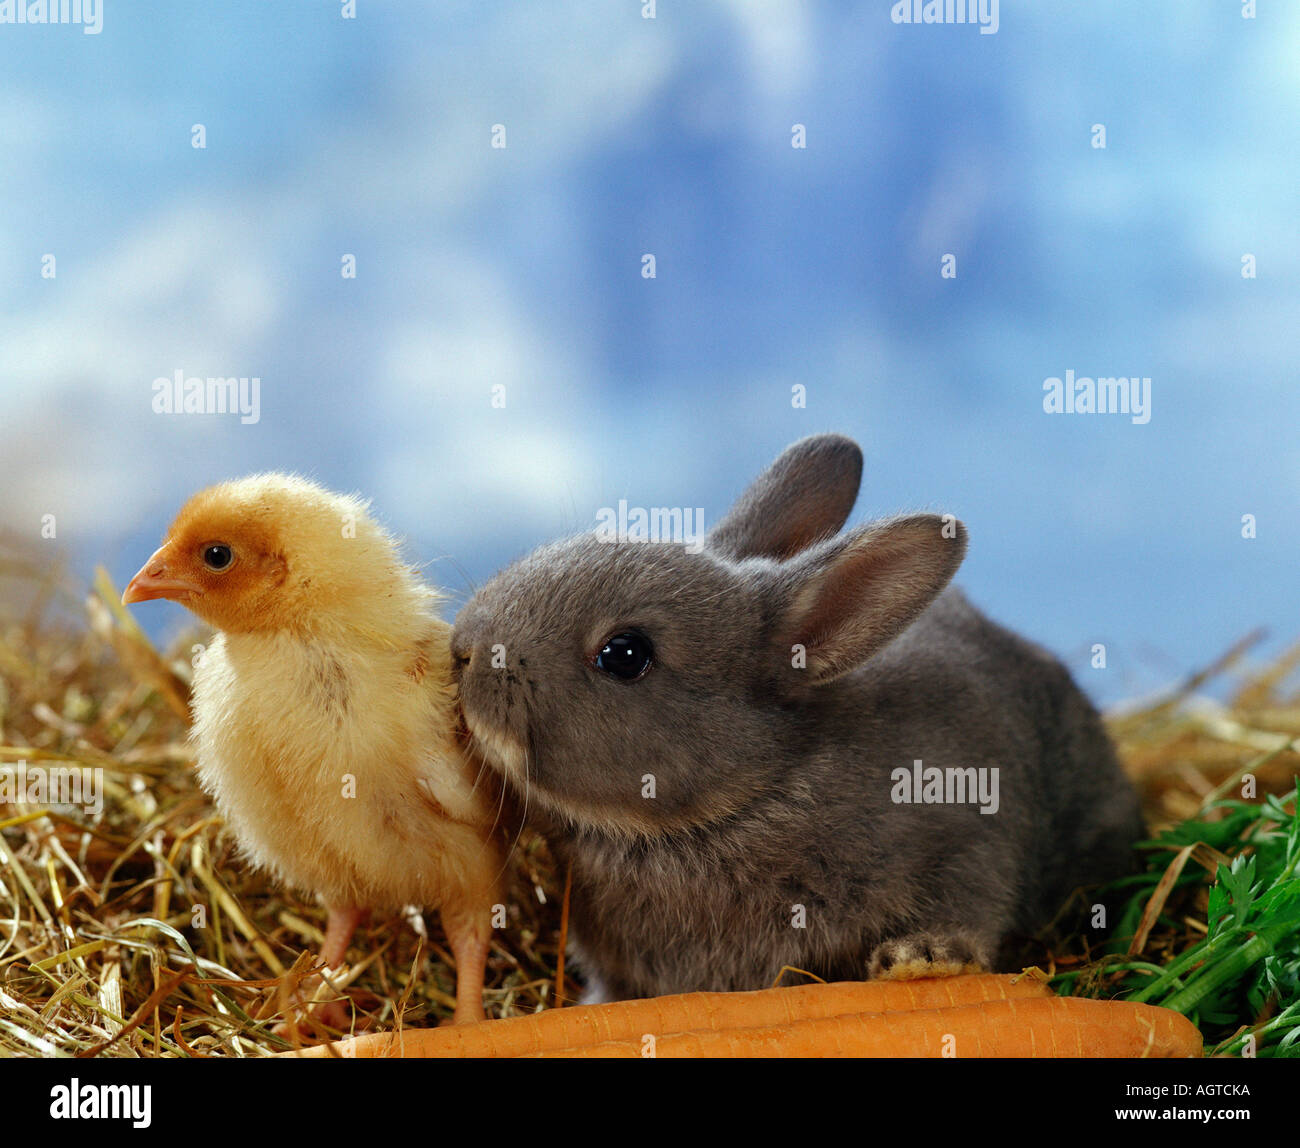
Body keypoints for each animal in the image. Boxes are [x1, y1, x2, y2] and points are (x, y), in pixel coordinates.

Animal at [451, 434, 1144, 1003]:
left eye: (624, 654)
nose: (462, 650)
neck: (749, 798)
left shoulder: (969, 830)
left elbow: (970, 901)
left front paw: (920, 959)